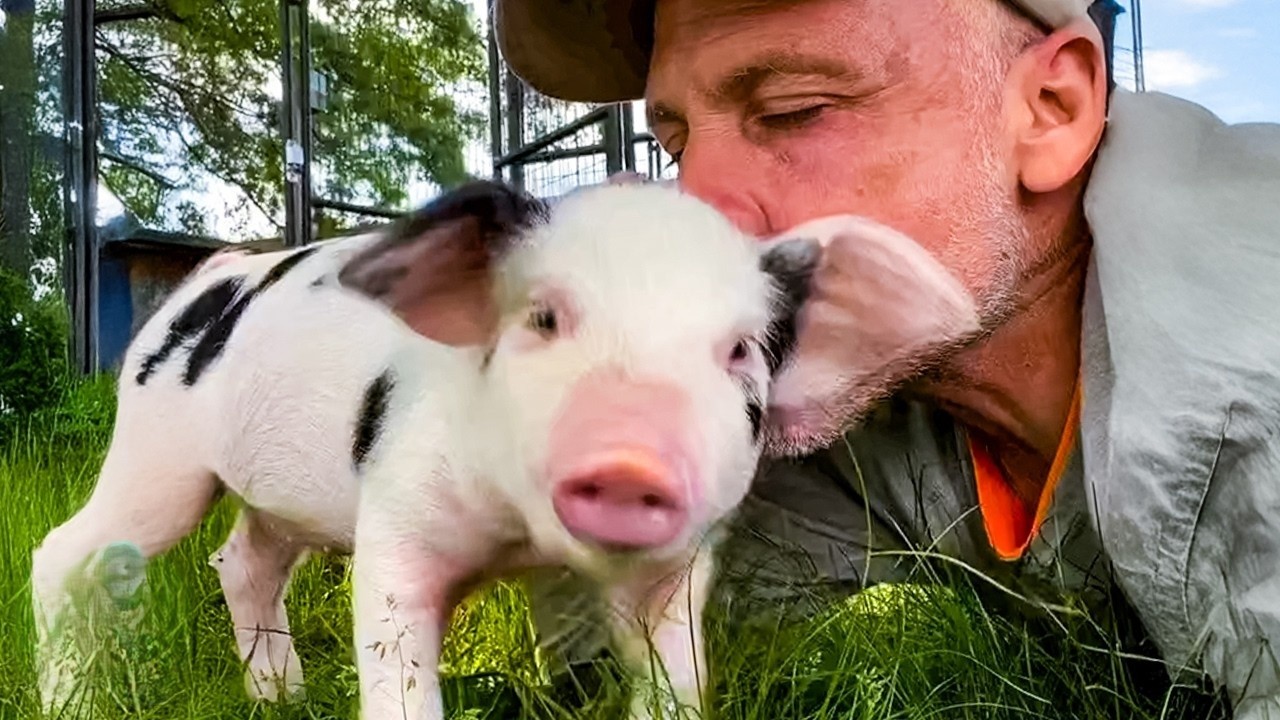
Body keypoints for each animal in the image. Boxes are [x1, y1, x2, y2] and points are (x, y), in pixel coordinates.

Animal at [29, 178, 824, 719]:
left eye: (741, 351)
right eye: (543, 318)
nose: (633, 457)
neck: (518, 539)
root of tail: (206, 276)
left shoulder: (678, 569)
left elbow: (674, 670)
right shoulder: (397, 509)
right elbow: (396, 650)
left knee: (244, 560)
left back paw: (284, 699)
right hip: (155, 448)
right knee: (66, 551)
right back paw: (69, 701)